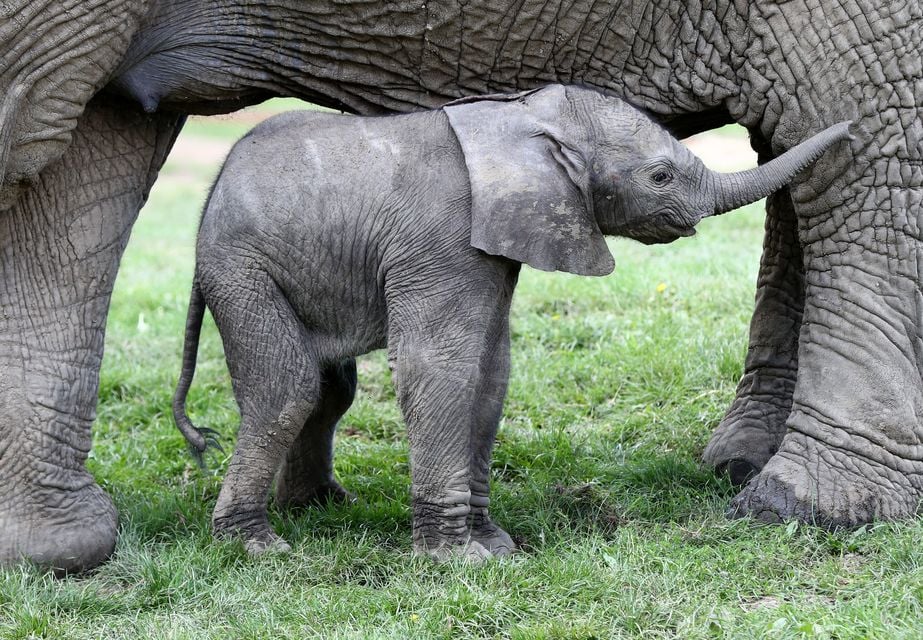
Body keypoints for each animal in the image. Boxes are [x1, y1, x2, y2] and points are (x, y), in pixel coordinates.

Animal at [171, 85, 851, 558]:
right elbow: (441, 366)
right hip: (243, 269)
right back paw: (257, 545)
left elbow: (491, 374)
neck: (523, 119)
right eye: (660, 175)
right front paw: (460, 562)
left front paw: (493, 544)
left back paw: (319, 511)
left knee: (327, 388)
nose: (851, 130)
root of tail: (210, 196)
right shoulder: (441, 240)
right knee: (286, 389)